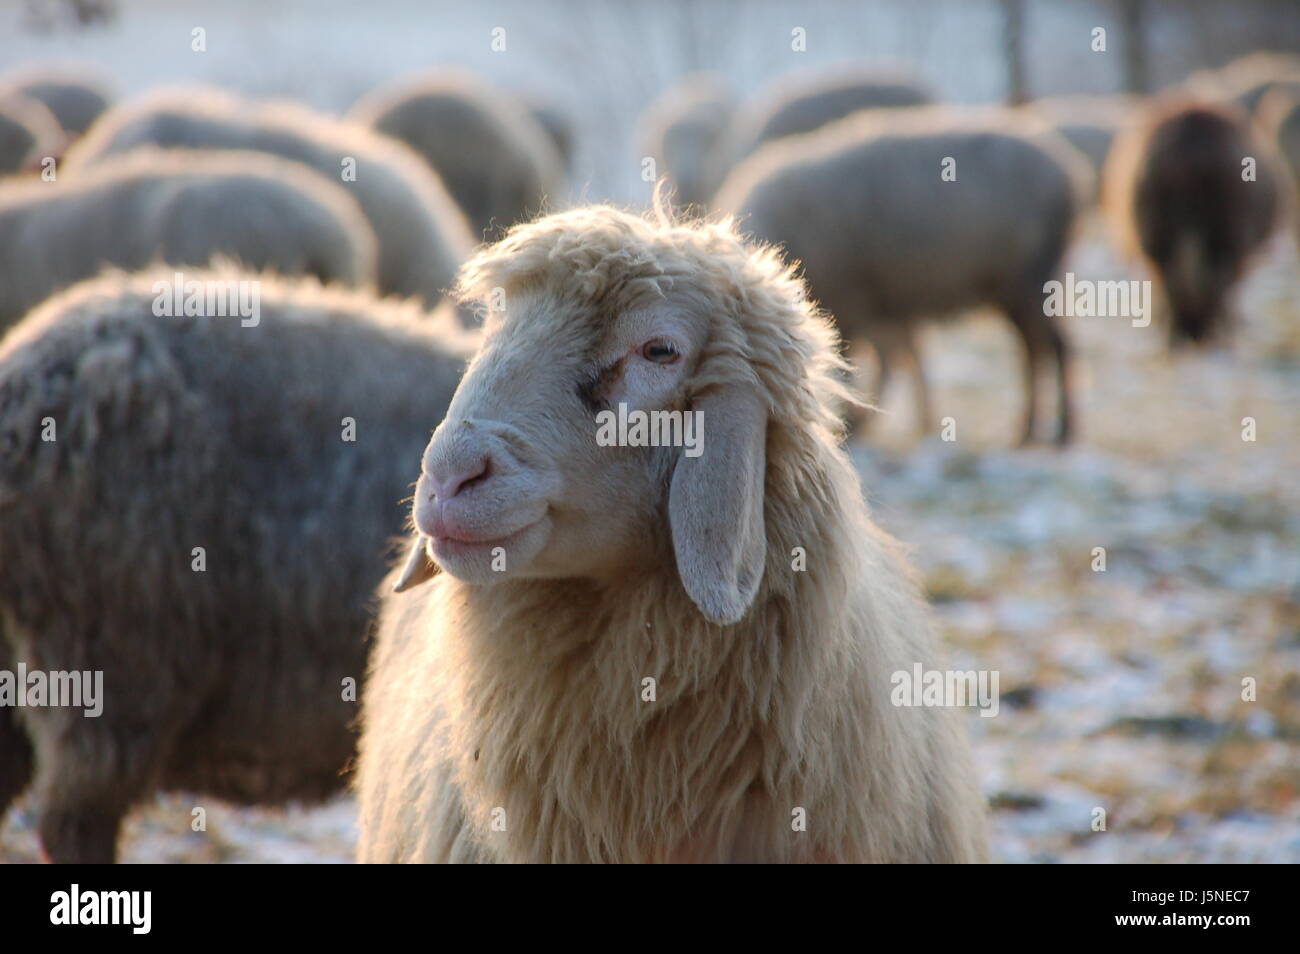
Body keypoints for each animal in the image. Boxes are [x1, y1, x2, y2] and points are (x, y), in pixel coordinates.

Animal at [715, 107, 1090, 445]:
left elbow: (861, 365)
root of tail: (1068, 172)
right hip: (1015, 287)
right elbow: (895, 360)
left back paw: (1059, 431)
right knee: (1035, 351)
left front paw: (855, 422)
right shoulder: (882, 306)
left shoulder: (855, 302)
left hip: (1030, 280)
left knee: (1054, 348)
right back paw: (1030, 430)